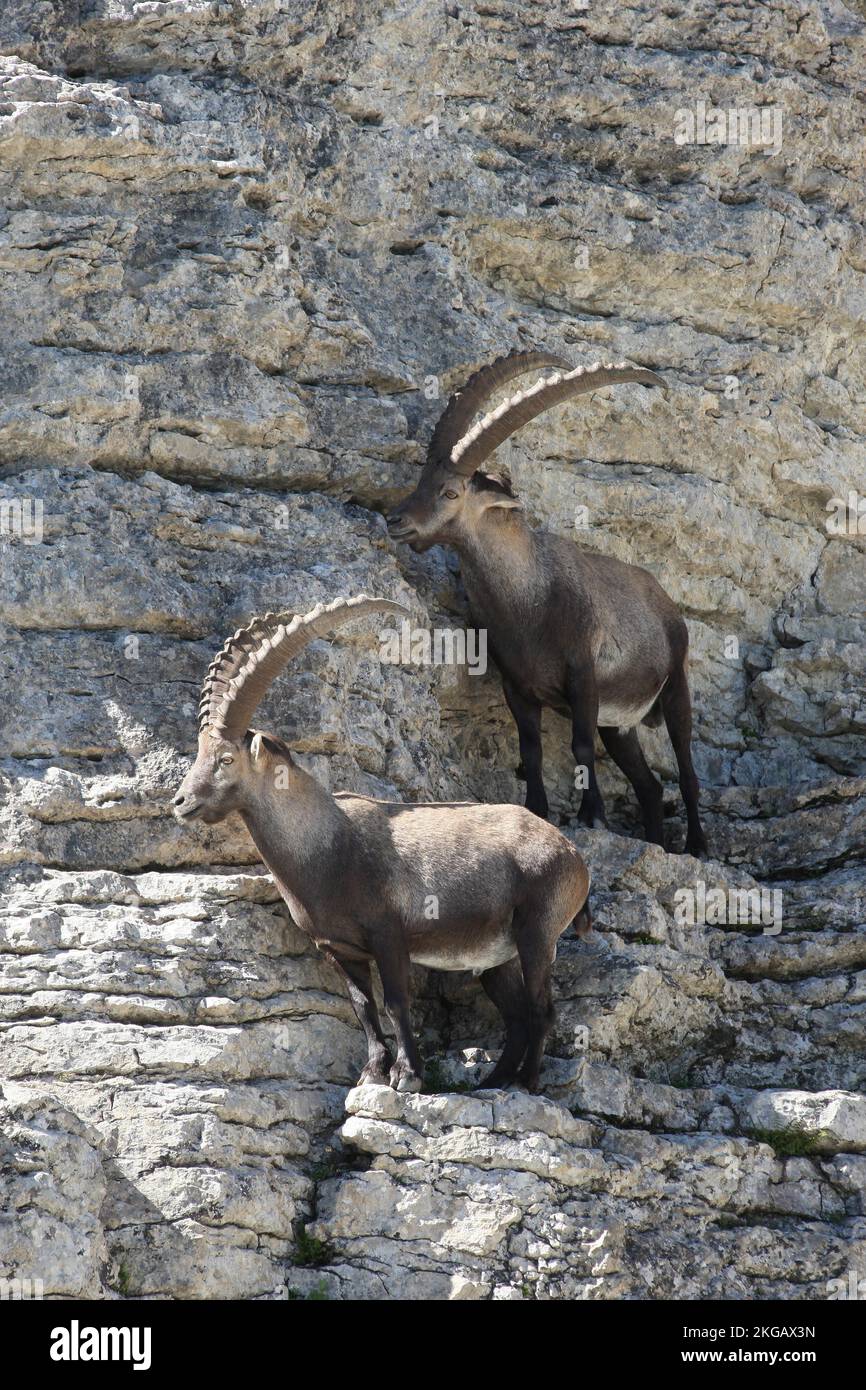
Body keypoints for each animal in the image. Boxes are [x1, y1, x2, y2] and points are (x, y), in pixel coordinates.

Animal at [173, 595, 590, 1093]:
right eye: (200, 753)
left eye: (225, 759)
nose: (180, 802)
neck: (326, 848)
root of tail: (573, 855)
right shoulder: (339, 949)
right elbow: (363, 1007)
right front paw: (372, 1072)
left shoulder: (389, 934)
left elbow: (394, 1001)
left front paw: (407, 1076)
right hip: (497, 958)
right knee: (517, 1016)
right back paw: (495, 1081)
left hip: (537, 931)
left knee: (542, 1010)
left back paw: (525, 1083)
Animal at [387, 352, 708, 856]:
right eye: (422, 481)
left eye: (450, 492)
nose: (395, 520)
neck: (528, 602)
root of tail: (665, 602)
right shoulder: (517, 685)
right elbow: (530, 749)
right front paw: (536, 811)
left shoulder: (583, 675)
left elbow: (578, 747)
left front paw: (591, 815)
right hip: (619, 726)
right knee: (650, 787)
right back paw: (655, 842)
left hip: (675, 685)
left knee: (687, 771)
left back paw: (696, 845)